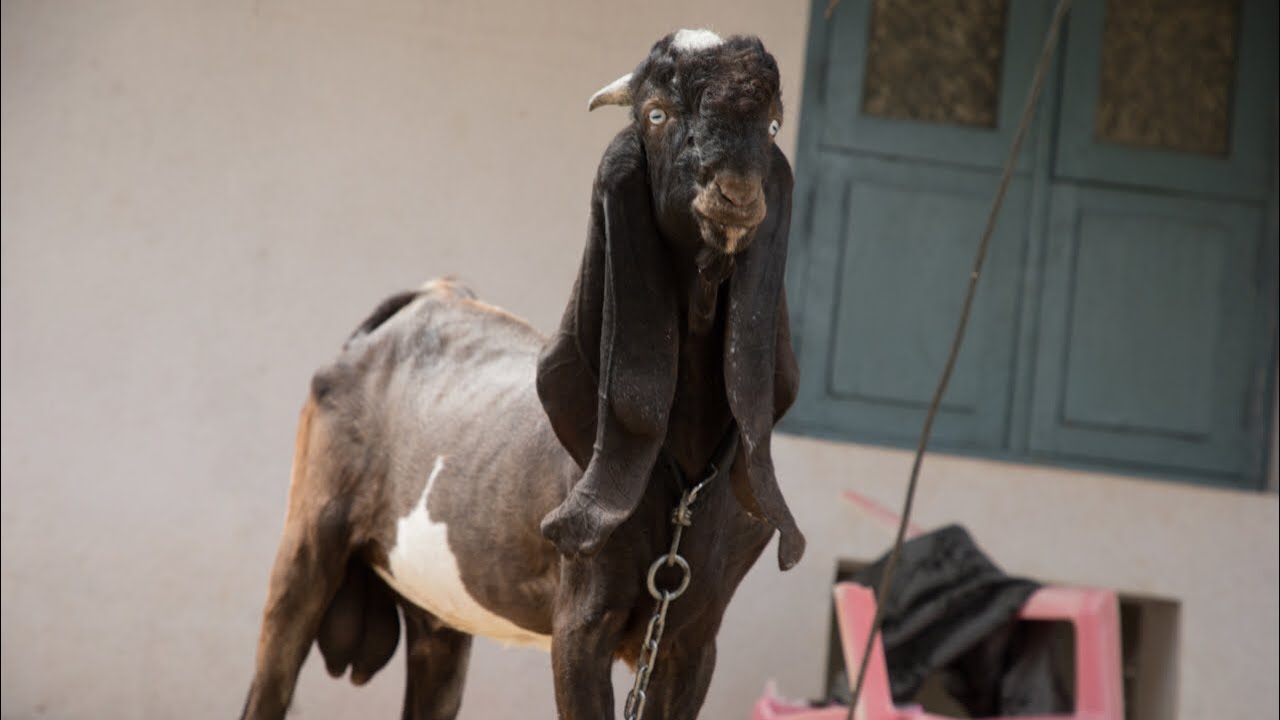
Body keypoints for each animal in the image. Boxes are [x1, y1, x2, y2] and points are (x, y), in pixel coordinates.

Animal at [241, 29, 803, 720]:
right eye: (657, 114)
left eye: (773, 124)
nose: (737, 192)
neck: (684, 486)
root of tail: (424, 299)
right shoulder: (580, 625)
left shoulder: (694, 637)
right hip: (307, 538)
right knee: (272, 669)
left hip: (438, 615)